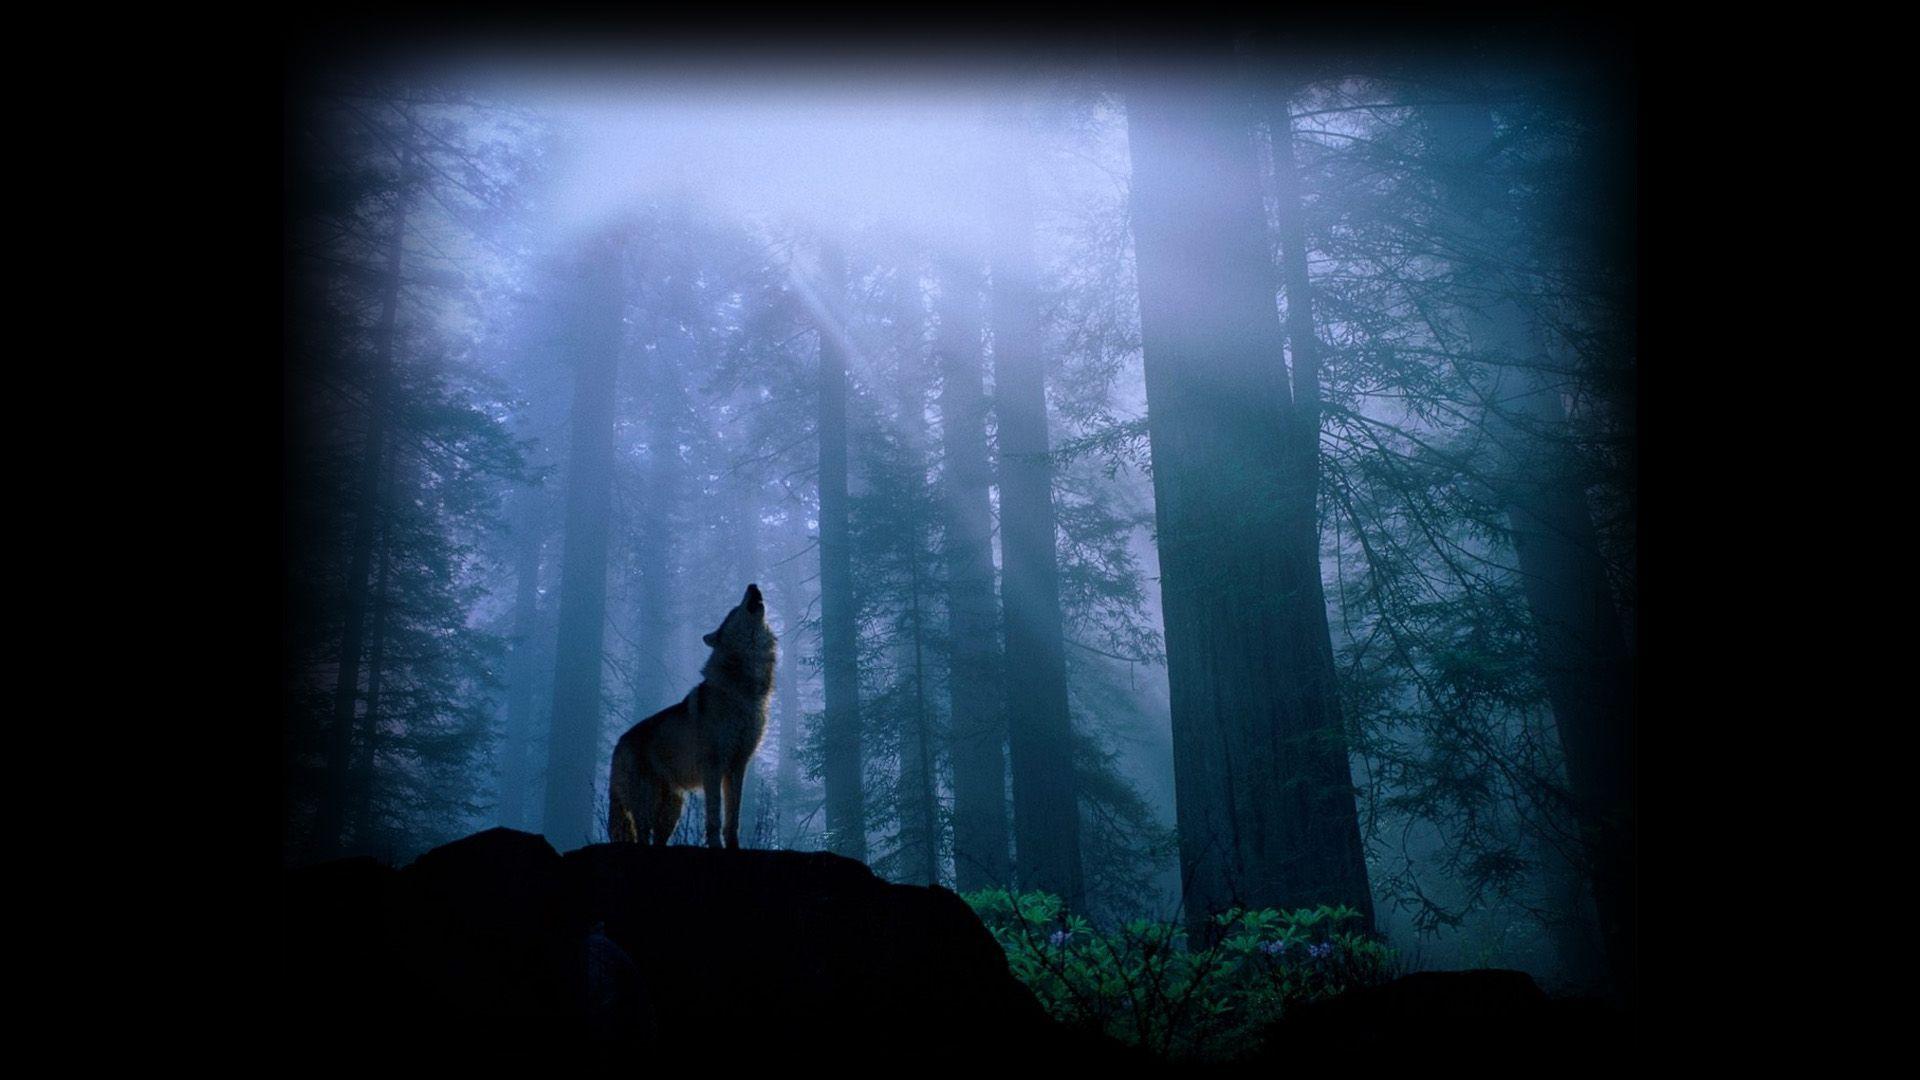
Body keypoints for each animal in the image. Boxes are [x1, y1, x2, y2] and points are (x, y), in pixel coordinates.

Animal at [608, 583, 778, 848]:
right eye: (734, 610)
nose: (753, 585)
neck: (743, 689)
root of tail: (619, 743)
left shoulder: (738, 765)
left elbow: (733, 818)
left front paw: (734, 847)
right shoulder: (713, 767)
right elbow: (714, 816)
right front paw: (716, 846)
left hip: (672, 810)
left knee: (657, 840)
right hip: (646, 806)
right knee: (642, 837)